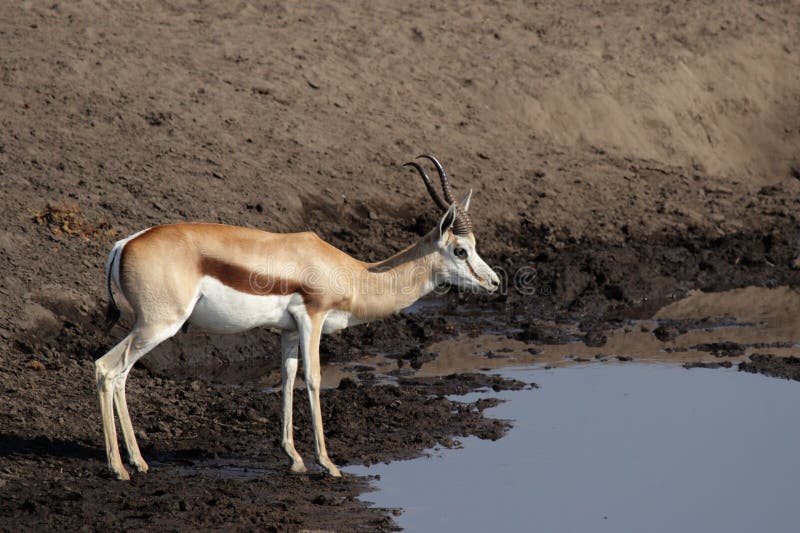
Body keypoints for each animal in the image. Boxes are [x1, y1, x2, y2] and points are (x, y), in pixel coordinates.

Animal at [95, 155, 500, 480]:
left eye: (475, 246)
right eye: (461, 250)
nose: (494, 282)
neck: (354, 273)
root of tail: (124, 244)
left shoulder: (287, 332)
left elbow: (288, 378)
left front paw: (294, 458)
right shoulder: (312, 319)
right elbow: (314, 379)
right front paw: (328, 464)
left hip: (149, 327)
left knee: (121, 374)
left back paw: (137, 462)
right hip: (159, 325)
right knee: (107, 369)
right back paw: (119, 468)